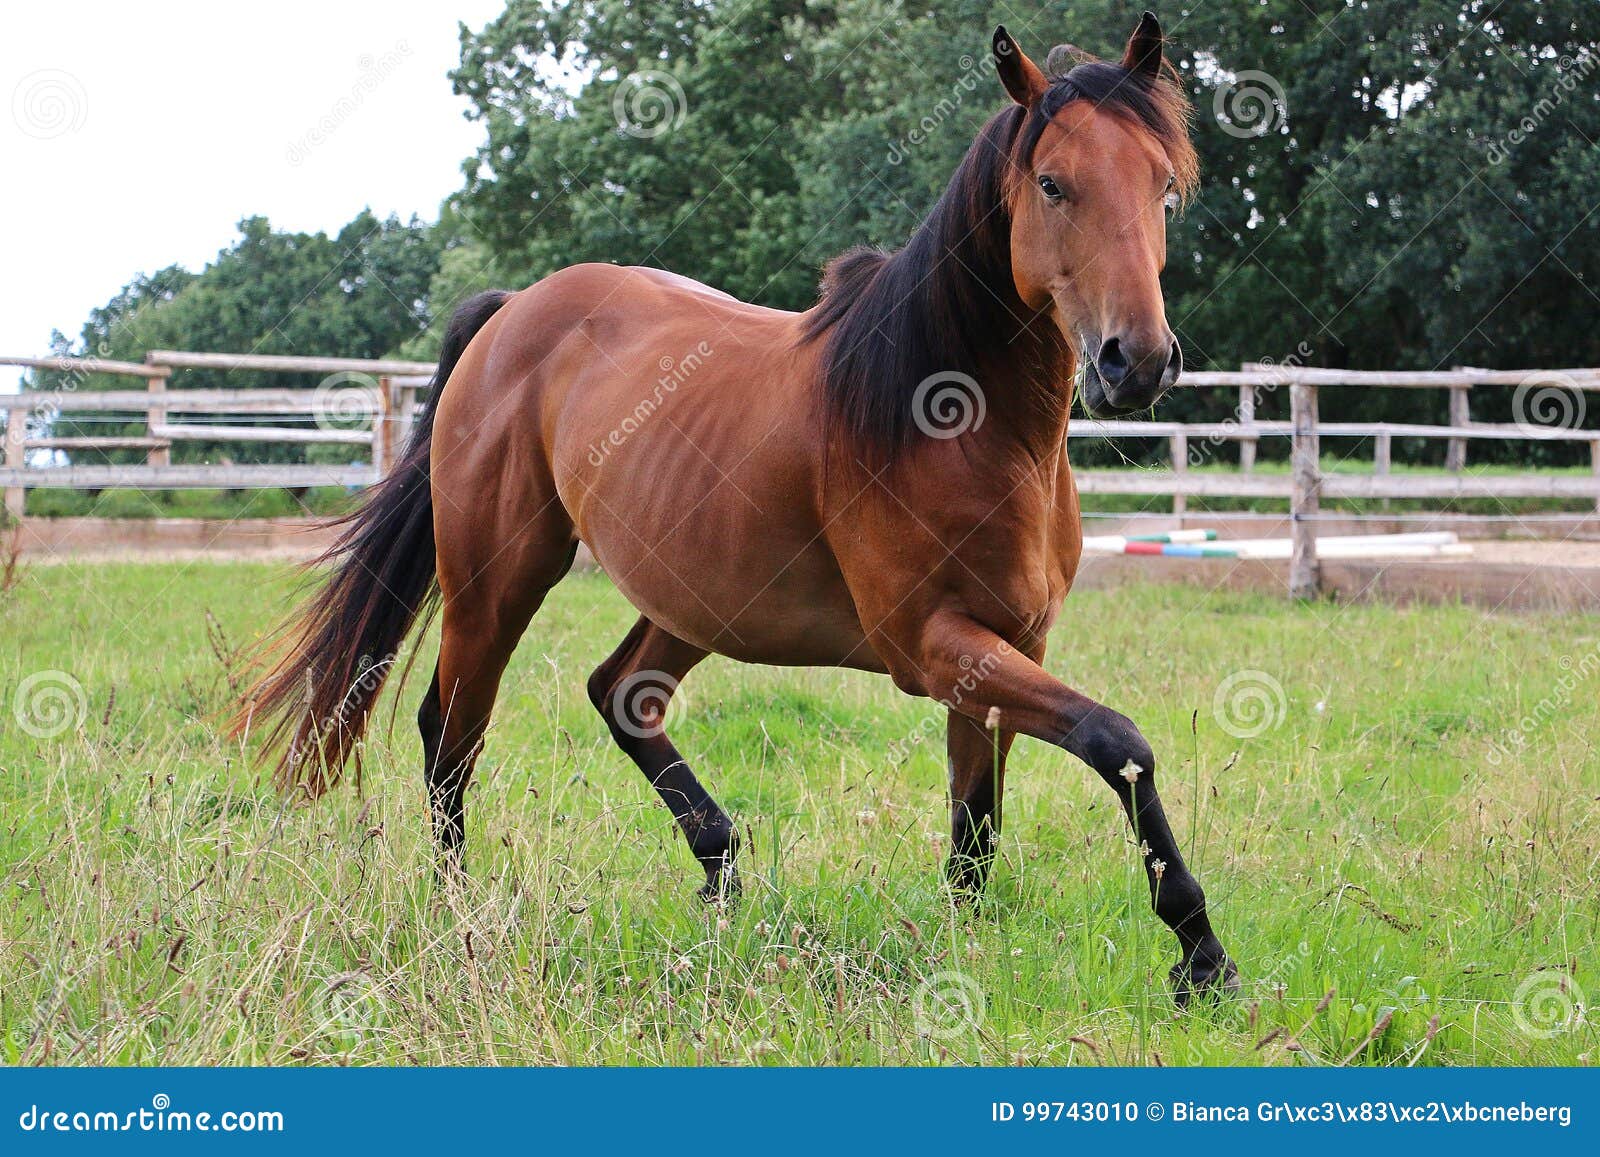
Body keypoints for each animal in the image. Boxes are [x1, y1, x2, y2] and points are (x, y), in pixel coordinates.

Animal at [236, 13, 1237, 1004]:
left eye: (1165, 189)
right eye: (1052, 183)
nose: (1137, 360)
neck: (948, 414)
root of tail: (515, 310)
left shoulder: (1006, 647)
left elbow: (976, 834)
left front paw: (970, 950)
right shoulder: (935, 646)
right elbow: (1117, 739)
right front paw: (1200, 951)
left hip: (693, 599)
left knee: (620, 694)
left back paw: (722, 872)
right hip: (498, 580)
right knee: (452, 734)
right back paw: (462, 915)